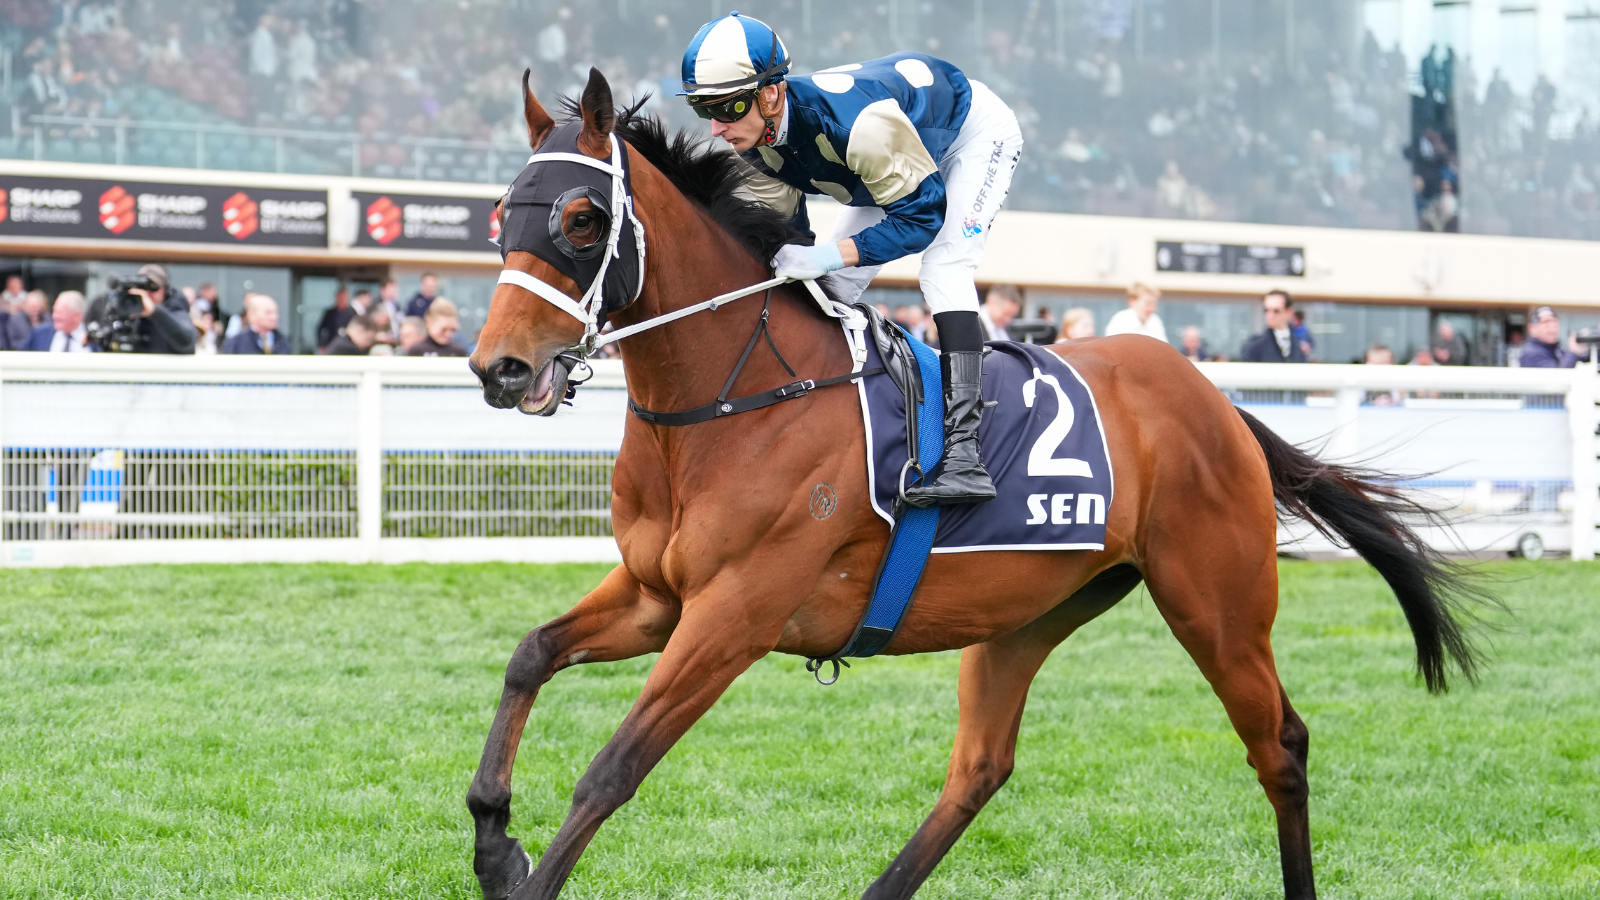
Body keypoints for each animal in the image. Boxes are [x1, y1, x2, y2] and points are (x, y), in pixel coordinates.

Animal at [464, 68, 1487, 900]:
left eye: (582, 219)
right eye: (502, 215)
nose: (500, 369)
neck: (734, 396)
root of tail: (1215, 399)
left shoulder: (736, 613)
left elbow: (614, 766)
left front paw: (523, 867)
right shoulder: (657, 596)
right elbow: (528, 654)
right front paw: (495, 844)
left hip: (1218, 604)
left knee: (1280, 744)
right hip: (1029, 610)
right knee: (981, 768)